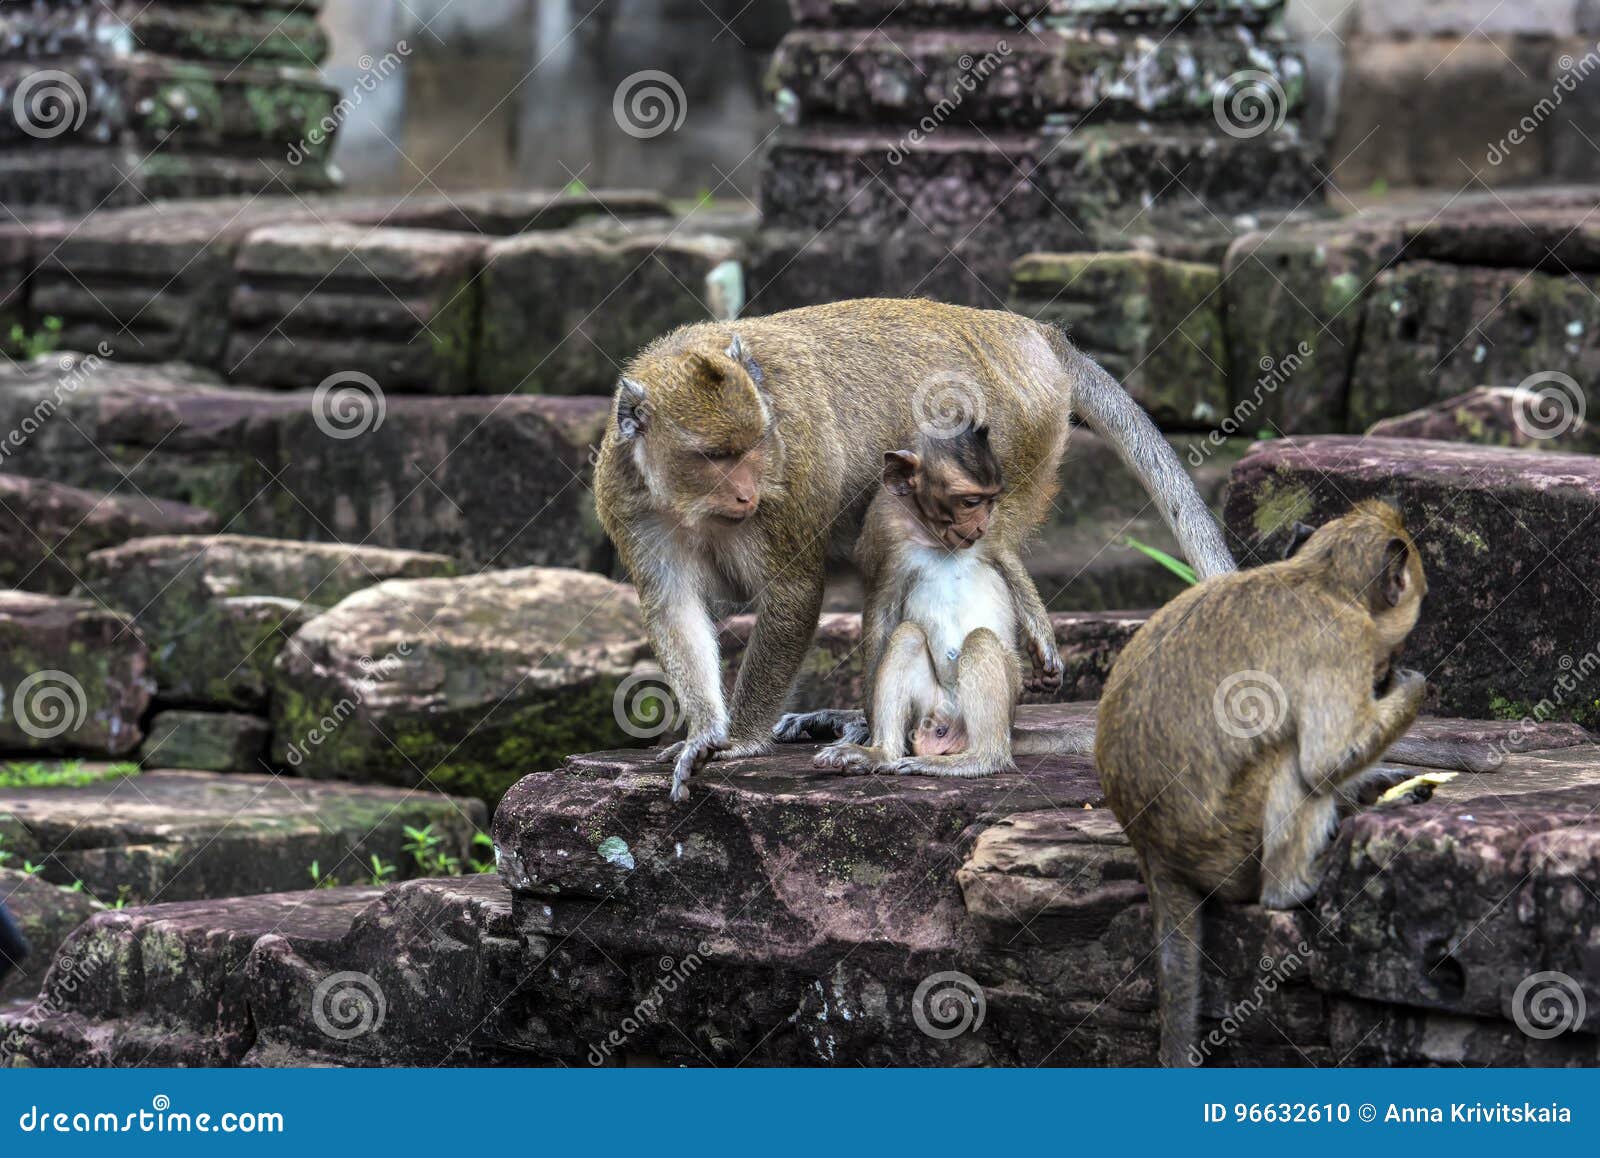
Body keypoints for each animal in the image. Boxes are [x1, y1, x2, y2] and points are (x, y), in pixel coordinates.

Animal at [593, 299, 1235, 801]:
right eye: (714, 457)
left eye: (753, 447)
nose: (748, 491)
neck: (689, 502)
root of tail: (1027, 330)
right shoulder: (628, 500)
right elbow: (674, 608)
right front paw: (704, 733)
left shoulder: (787, 480)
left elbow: (792, 592)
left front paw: (739, 742)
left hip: (1014, 443)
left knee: (990, 549)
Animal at [1093, 499, 1429, 1066]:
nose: (1386, 672)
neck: (1324, 578)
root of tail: (1151, 851)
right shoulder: (1345, 644)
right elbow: (1321, 761)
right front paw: (1414, 689)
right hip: (1227, 850)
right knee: (1288, 763)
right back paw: (1293, 886)